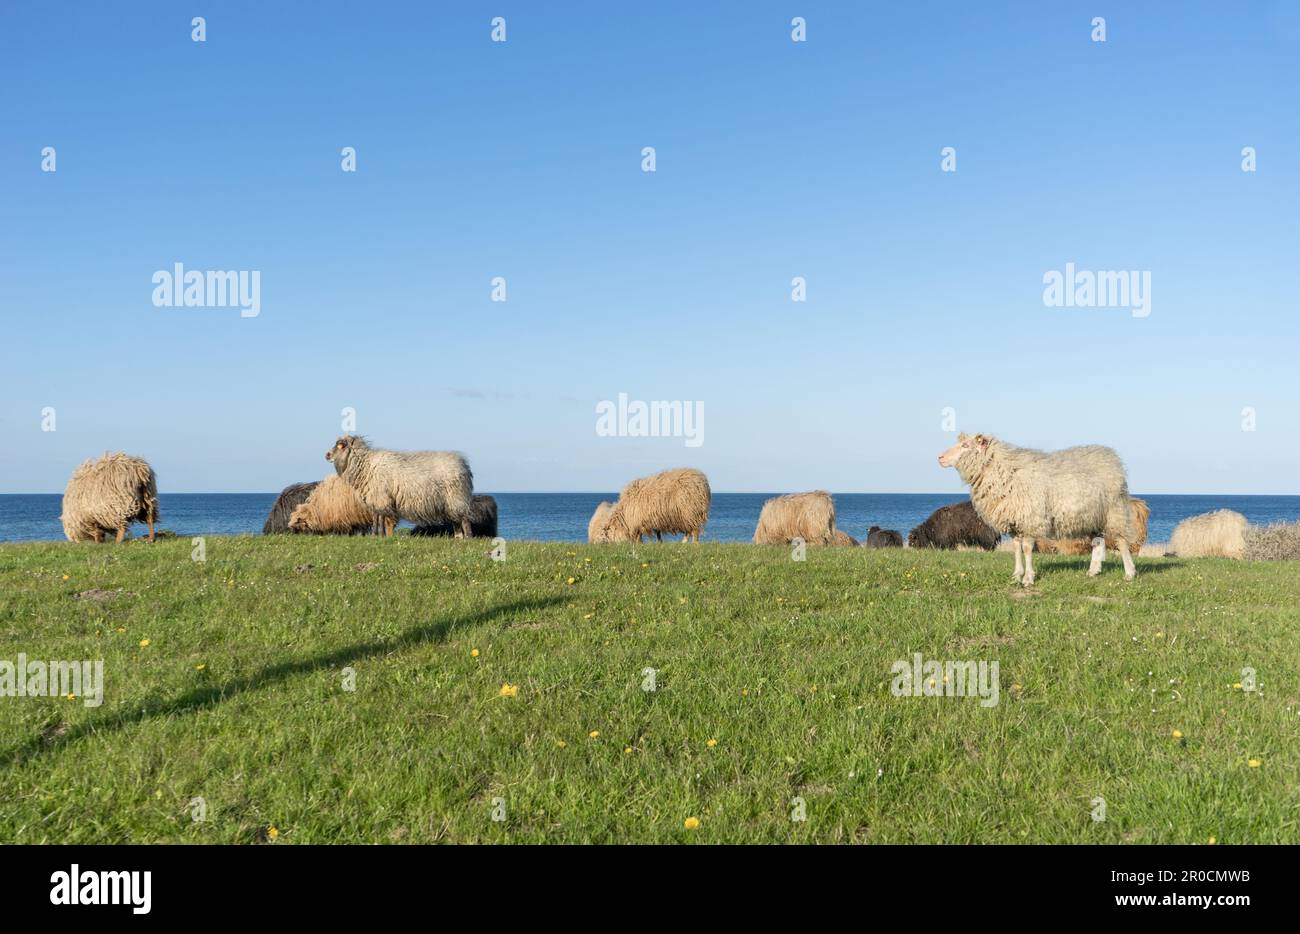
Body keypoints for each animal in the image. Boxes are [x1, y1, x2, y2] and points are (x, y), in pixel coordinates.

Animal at [326, 435, 474, 538]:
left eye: (341, 445)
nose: (326, 455)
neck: (366, 465)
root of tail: (464, 465)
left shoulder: (381, 497)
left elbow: (381, 519)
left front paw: (380, 536)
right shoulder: (376, 498)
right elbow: (377, 518)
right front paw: (376, 536)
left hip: (456, 496)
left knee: (464, 519)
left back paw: (468, 538)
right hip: (450, 502)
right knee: (456, 520)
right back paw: (458, 538)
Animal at [938, 432, 1135, 587]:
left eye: (965, 445)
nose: (940, 457)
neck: (1005, 472)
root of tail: (1112, 457)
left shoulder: (1030, 519)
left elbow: (1026, 549)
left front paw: (1028, 578)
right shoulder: (1015, 521)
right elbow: (1016, 548)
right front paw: (1016, 575)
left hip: (1113, 511)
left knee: (1121, 542)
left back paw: (1129, 573)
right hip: (1092, 516)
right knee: (1098, 542)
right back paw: (1093, 571)